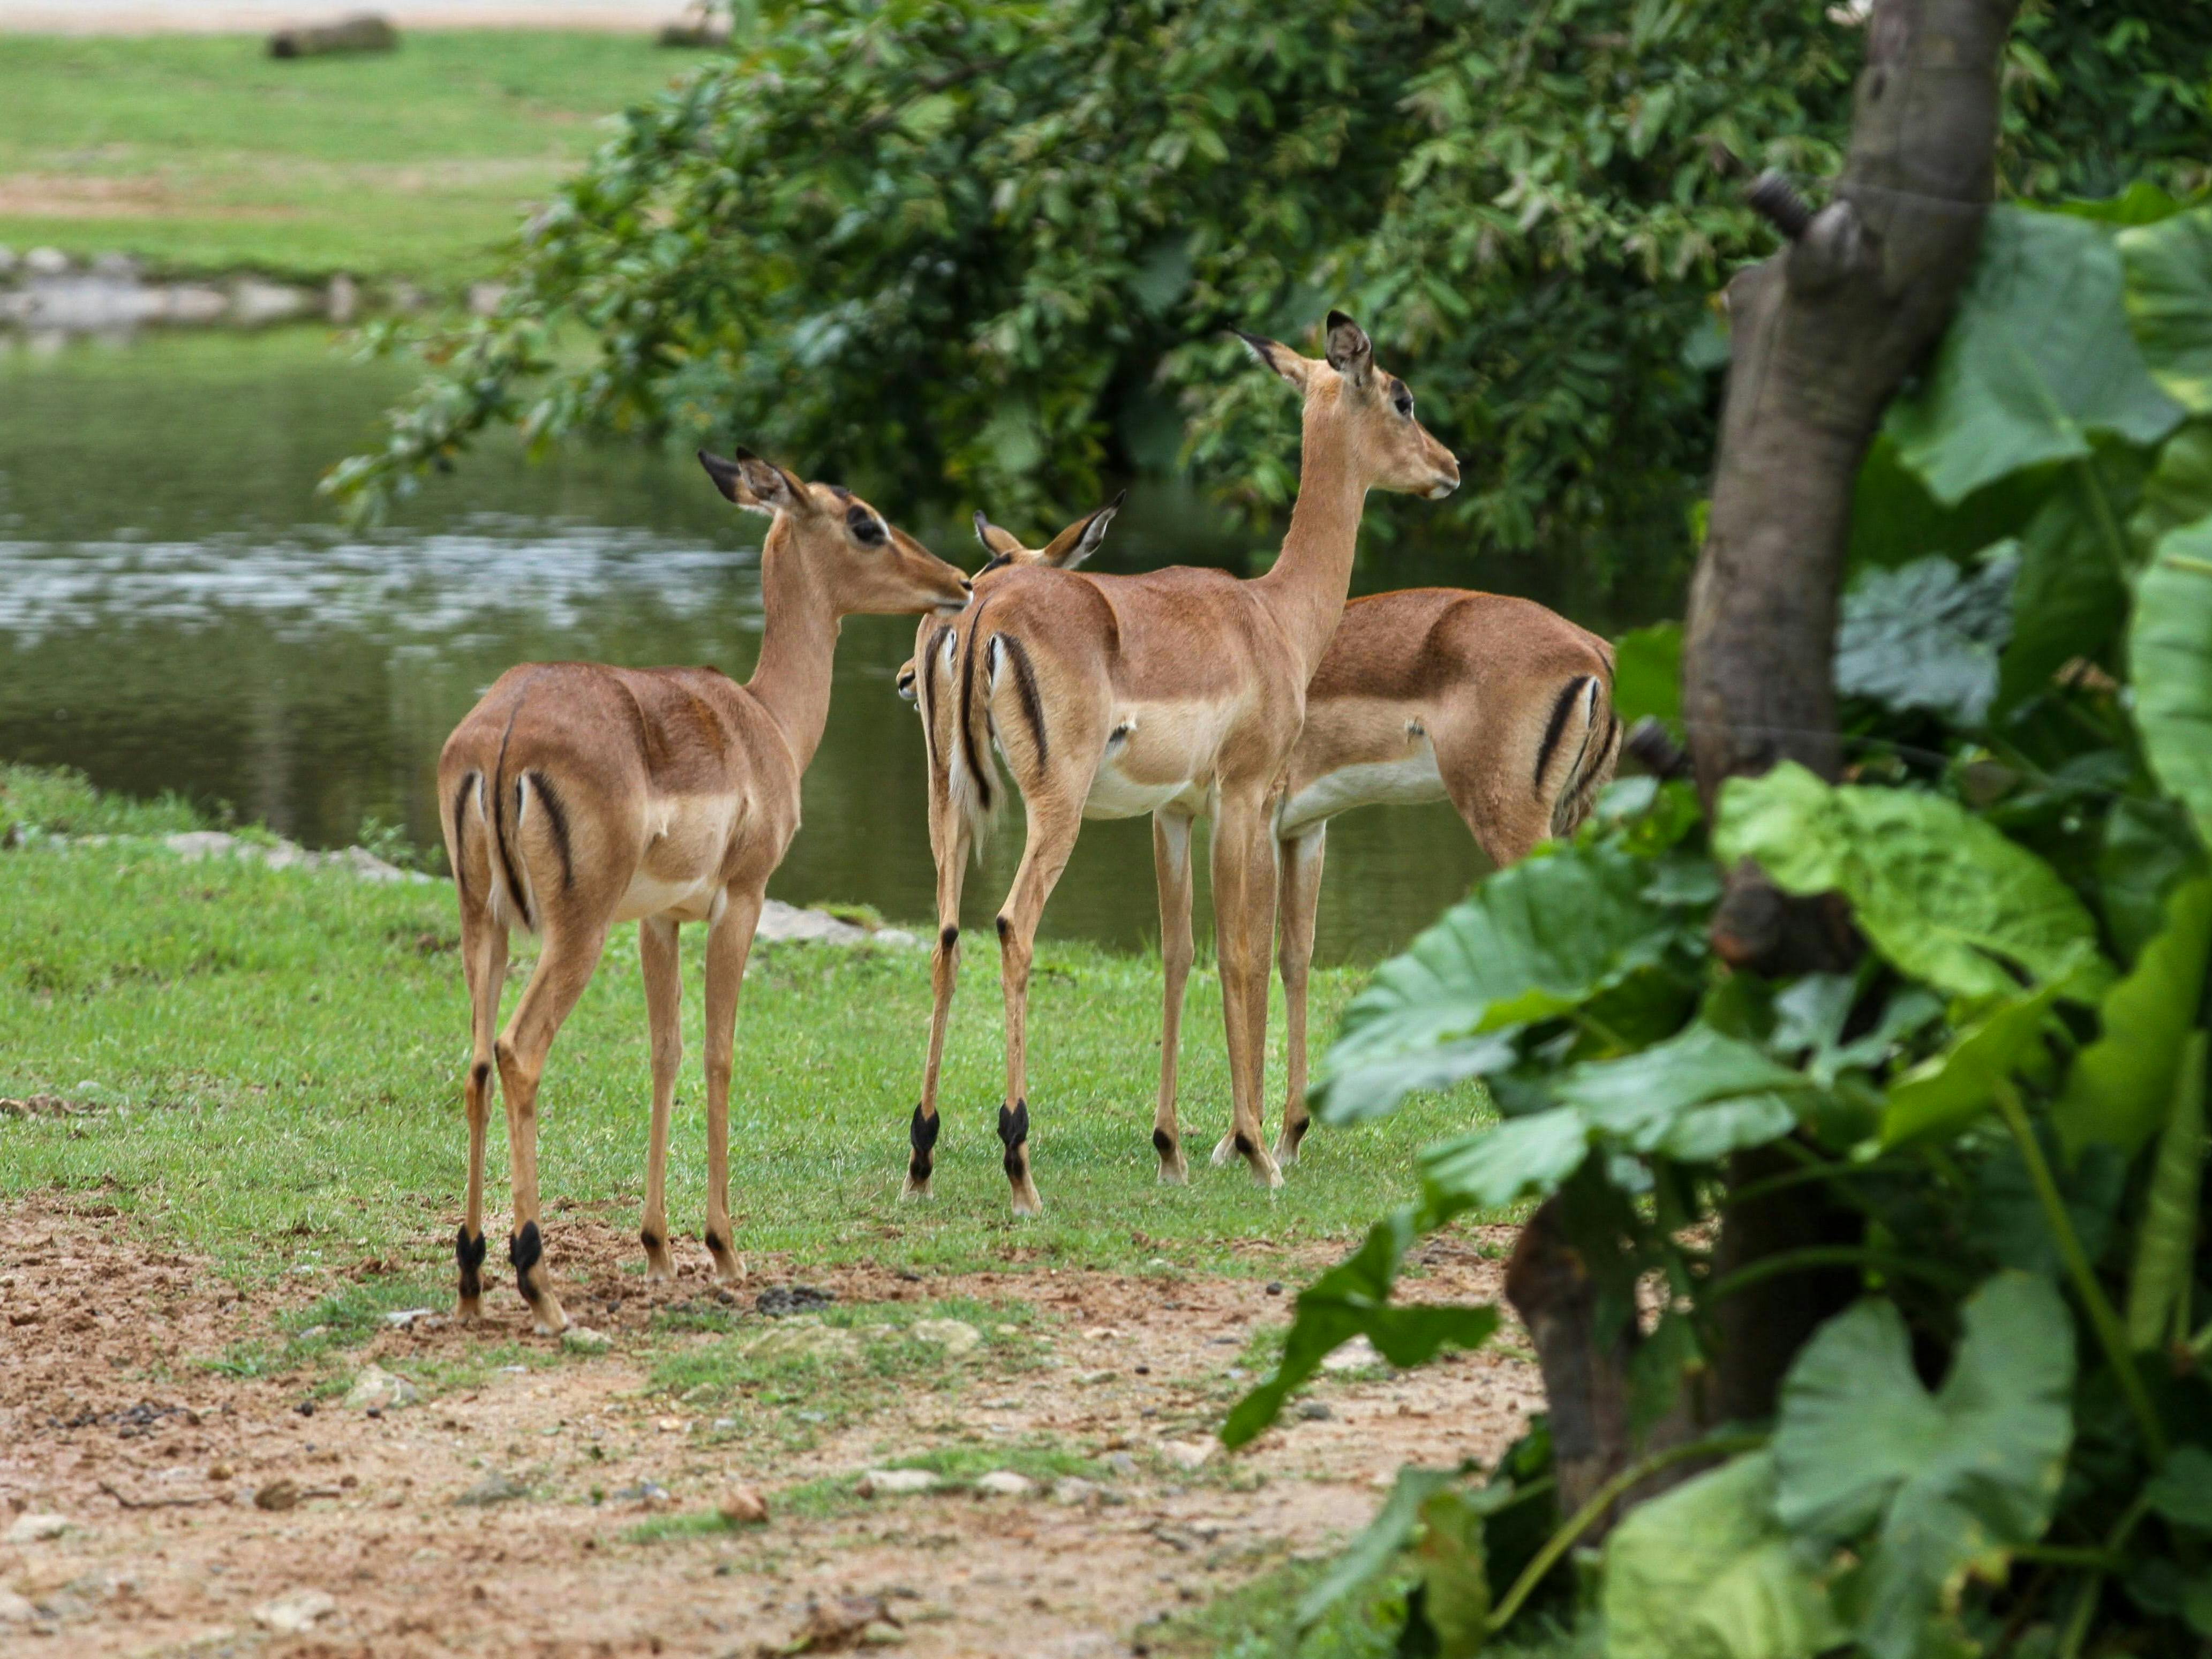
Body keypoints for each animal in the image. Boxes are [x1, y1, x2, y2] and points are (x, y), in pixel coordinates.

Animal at [436, 450, 972, 1334]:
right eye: (865, 521)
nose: (957, 581)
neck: (765, 719)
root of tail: (502, 733)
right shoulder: (740, 900)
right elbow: (721, 1051)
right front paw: (724, 1248)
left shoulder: (660, 921)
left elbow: (666, 1052)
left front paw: (656, 1248)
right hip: (573, 932)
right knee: (520, 1049)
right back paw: (539, 1286)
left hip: (486, 922)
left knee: (478, 1060)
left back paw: (473, 1277)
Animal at [899, 550, 1618, 1189]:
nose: (906, 678)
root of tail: (1595, 652)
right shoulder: (1283, 826)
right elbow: (1278, 958)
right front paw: (1268, 1138)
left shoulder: (1258, 821)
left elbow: (1252, 961)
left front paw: (1246, 1143)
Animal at [908, 312, 1460, 1214]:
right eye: (1401, 396)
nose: (1449, 467)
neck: (1274, 613)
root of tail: (983, 608)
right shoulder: (1244, 798)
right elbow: (1241, 951)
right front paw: (1256, 1151)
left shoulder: (1170, 813)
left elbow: (1176, 953)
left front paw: (1170, 1148)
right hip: (1053, 805)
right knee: (1013, 925)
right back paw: (1020, 1167)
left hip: (949, 800)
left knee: (948, 934)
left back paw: (921, 1157)